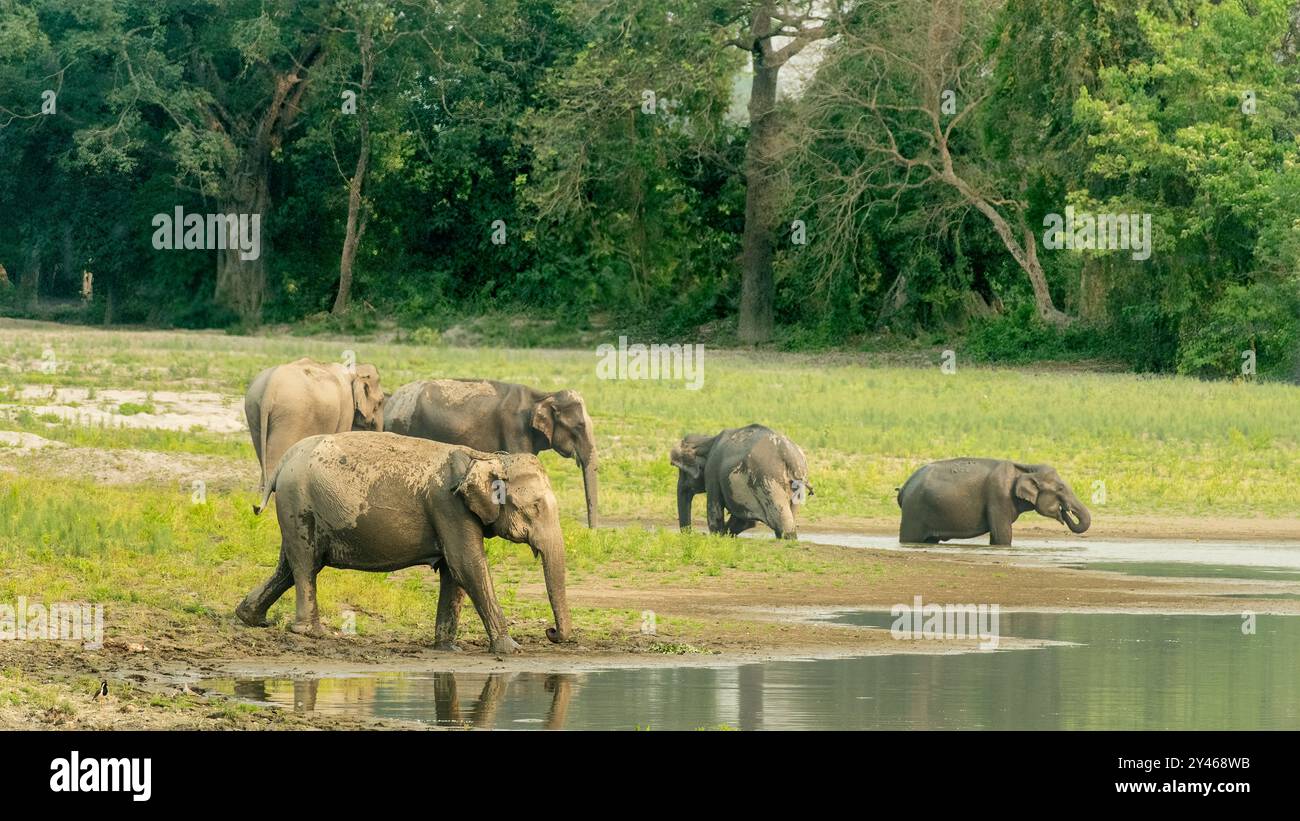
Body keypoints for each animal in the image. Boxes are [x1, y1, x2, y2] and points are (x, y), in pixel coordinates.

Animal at [235, 431, 571, 655]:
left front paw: (447, 649)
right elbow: (467, 566)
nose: (551, 632)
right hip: (298, 500)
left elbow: (454, 572)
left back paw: (250, 618)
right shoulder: (448, 506)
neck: (486, 456)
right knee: (305, 565)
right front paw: (511, 649)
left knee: (291, 565)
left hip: (297, 509)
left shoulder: (452, 512)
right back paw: (311, 633)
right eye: (535, 507)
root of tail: (283, 461)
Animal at [244, 357, 385, 492]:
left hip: (253, 408)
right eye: (381, 401)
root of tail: (270, 387)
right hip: (290, 414)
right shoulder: (346, 409)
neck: (354, 371)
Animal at [670, 424, 812, 540]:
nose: (690, 534)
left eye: (683, 472)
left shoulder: (712, 470)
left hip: (769, 481)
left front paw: (718, 536)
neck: (707, 440)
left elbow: (715, 510)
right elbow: (743, 520)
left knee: (781, 521)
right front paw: (725, 535)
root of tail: (790, 456)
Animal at [897, 458, 1092, 545]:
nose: (1065, 511)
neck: (1027, 467)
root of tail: (905, 485)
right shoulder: (999, 497)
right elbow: (1001, 536)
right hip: (913, 512)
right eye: (1060, 489)